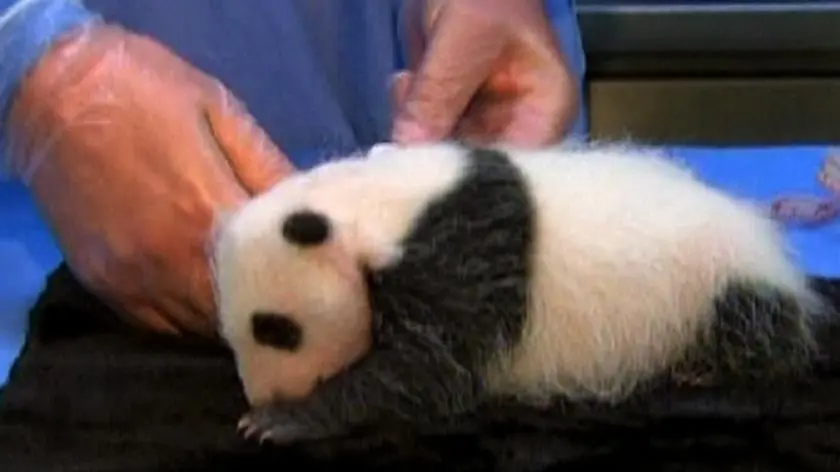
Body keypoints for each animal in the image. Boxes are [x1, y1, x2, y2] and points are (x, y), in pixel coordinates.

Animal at [214, 141, 827, 446]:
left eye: (275, 329)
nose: (263, 395)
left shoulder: (462, 263)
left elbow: (433, 372)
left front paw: (284, 420)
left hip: (719, 284)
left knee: (753, 329)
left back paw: (702, 368)